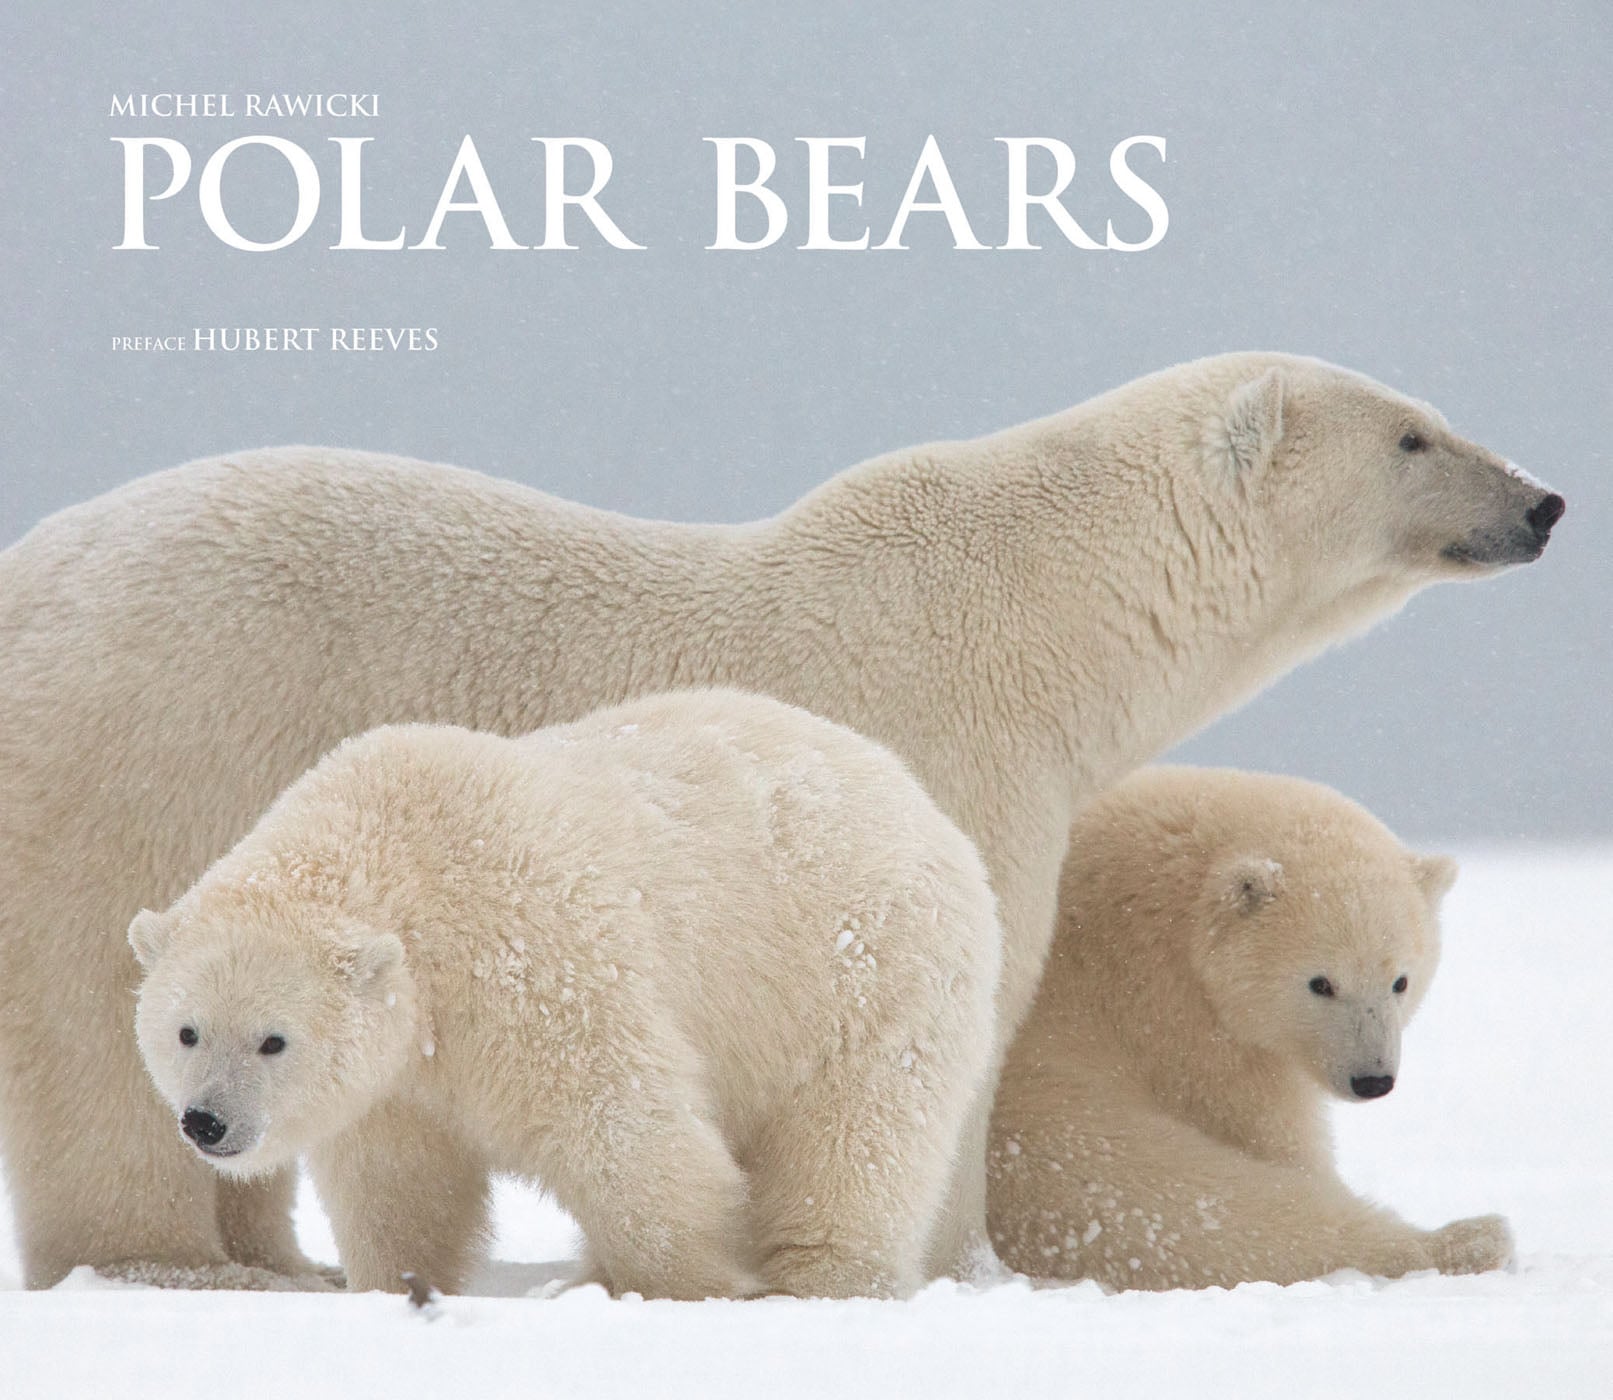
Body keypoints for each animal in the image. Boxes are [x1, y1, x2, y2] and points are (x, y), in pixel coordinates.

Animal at [128, 688, 1002, 1300]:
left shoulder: (533, 956)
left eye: (273, 1038)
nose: (208, 1122)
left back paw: (820, 1279)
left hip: (862, 967)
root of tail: (914, 795)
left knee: (855, 1136)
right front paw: (392, 1283)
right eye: (186, 1031)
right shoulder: (394, 1076)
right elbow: (399, 1183)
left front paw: (690, 1283)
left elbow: (621, 1124)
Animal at [987, 766, 1515, 1290]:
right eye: (1320, 983)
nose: (1373, 1080)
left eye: (1400, 981)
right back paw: (1470, 1240)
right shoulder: (1174, 1012)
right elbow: (1267, 1135)